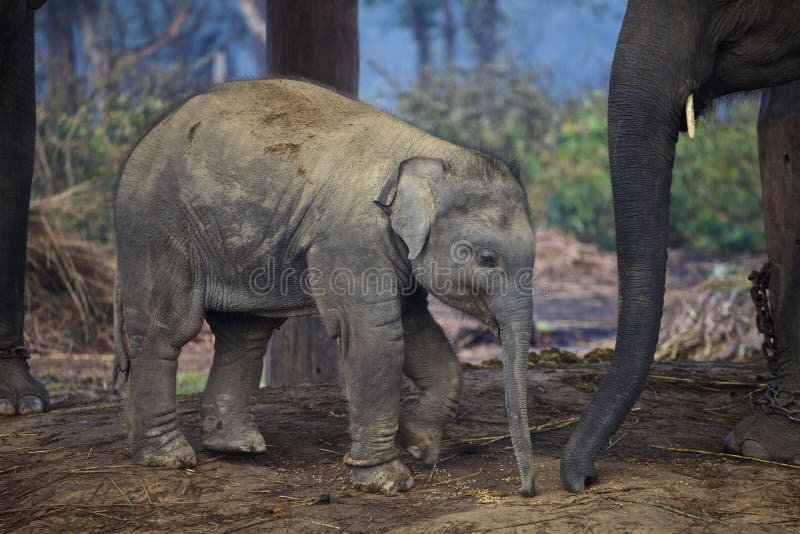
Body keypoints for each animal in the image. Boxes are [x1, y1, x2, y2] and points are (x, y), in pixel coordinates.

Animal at [114, 79, 538, 495]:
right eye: (487, 258)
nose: (526, 489)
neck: (428, 154)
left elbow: (414, 327)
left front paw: (420, 447)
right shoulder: (352, 240)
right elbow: (376, 336)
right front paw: (388, 481)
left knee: (246, 333)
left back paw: (237, 447)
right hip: (159, 225)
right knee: (168, 330)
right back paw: (169, 457)